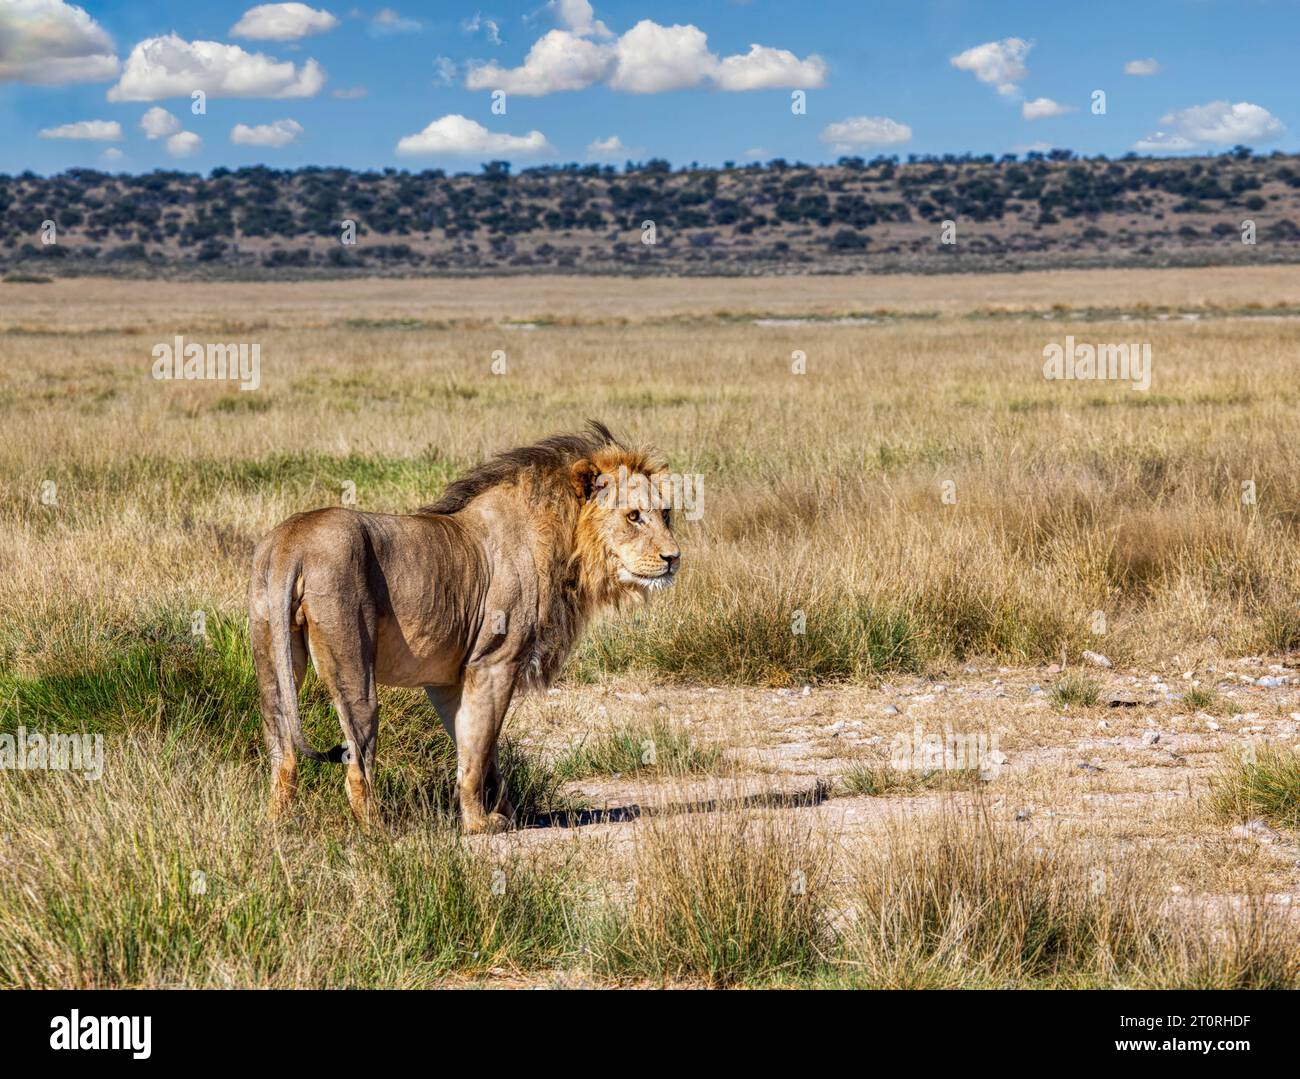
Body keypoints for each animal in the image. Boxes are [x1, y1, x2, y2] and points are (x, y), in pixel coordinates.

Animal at [247, 421, 680, 834]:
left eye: (666, 514)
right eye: (634, 516)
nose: (673, 558)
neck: (565, 540)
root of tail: (291, 543)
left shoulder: (447, 679)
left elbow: (479, 749)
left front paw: (508, 814)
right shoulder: (493, 663)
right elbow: (478, 751)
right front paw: (479, 825)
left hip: (270, 655)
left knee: (282, 753)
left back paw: (274, 825)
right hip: (353, 665)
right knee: (357, 762)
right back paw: (378, 832)